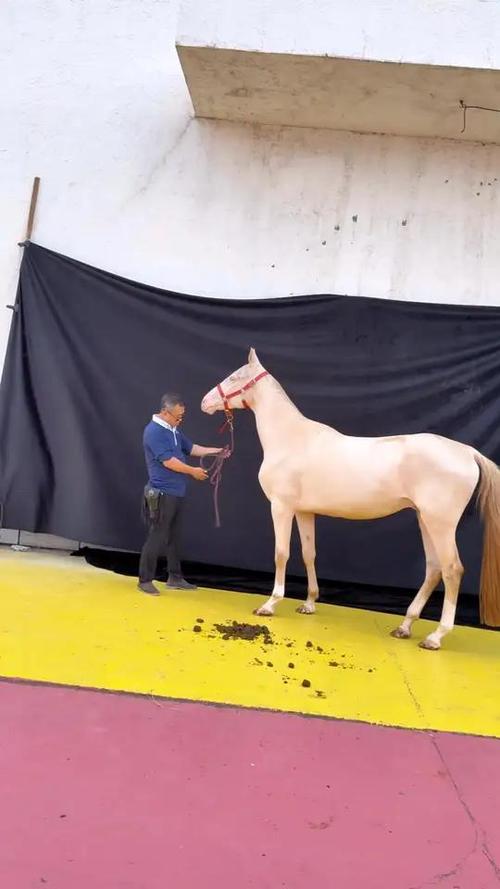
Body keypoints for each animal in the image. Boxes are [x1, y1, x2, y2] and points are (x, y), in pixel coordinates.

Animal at [201, 349, 500, 649]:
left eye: (235, 377)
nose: (205, 402)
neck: (291, 439)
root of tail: (468, 452)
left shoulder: (281, 507)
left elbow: (281, 553)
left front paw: (270, 604)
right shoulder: (304, 511)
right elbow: (309, 553)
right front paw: (309, 603)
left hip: (441, 525)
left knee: (452, 570)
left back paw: (436, 637)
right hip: (425, 520)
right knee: (434, 569)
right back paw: (405, 626)